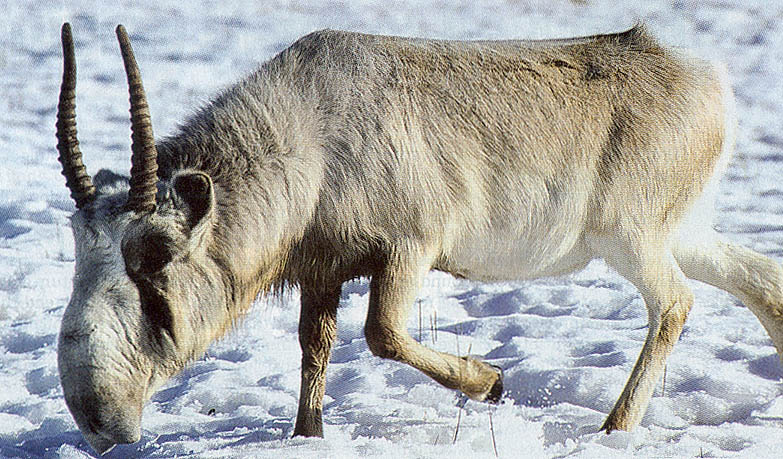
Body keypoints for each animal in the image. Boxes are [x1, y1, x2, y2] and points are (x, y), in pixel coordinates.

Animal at [55, 22, 783, 455]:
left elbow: (381, 332)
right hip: (683, 231)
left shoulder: (409, 248)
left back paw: (614, 426)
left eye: (154, 256)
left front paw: (490, 382)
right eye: (78, 245)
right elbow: (314, 346)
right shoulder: (322, 268)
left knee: (675, 301)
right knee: (760, 278)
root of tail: (708, 82)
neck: (308, 137)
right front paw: (307, 434)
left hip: (632, 237)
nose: (97, 417)